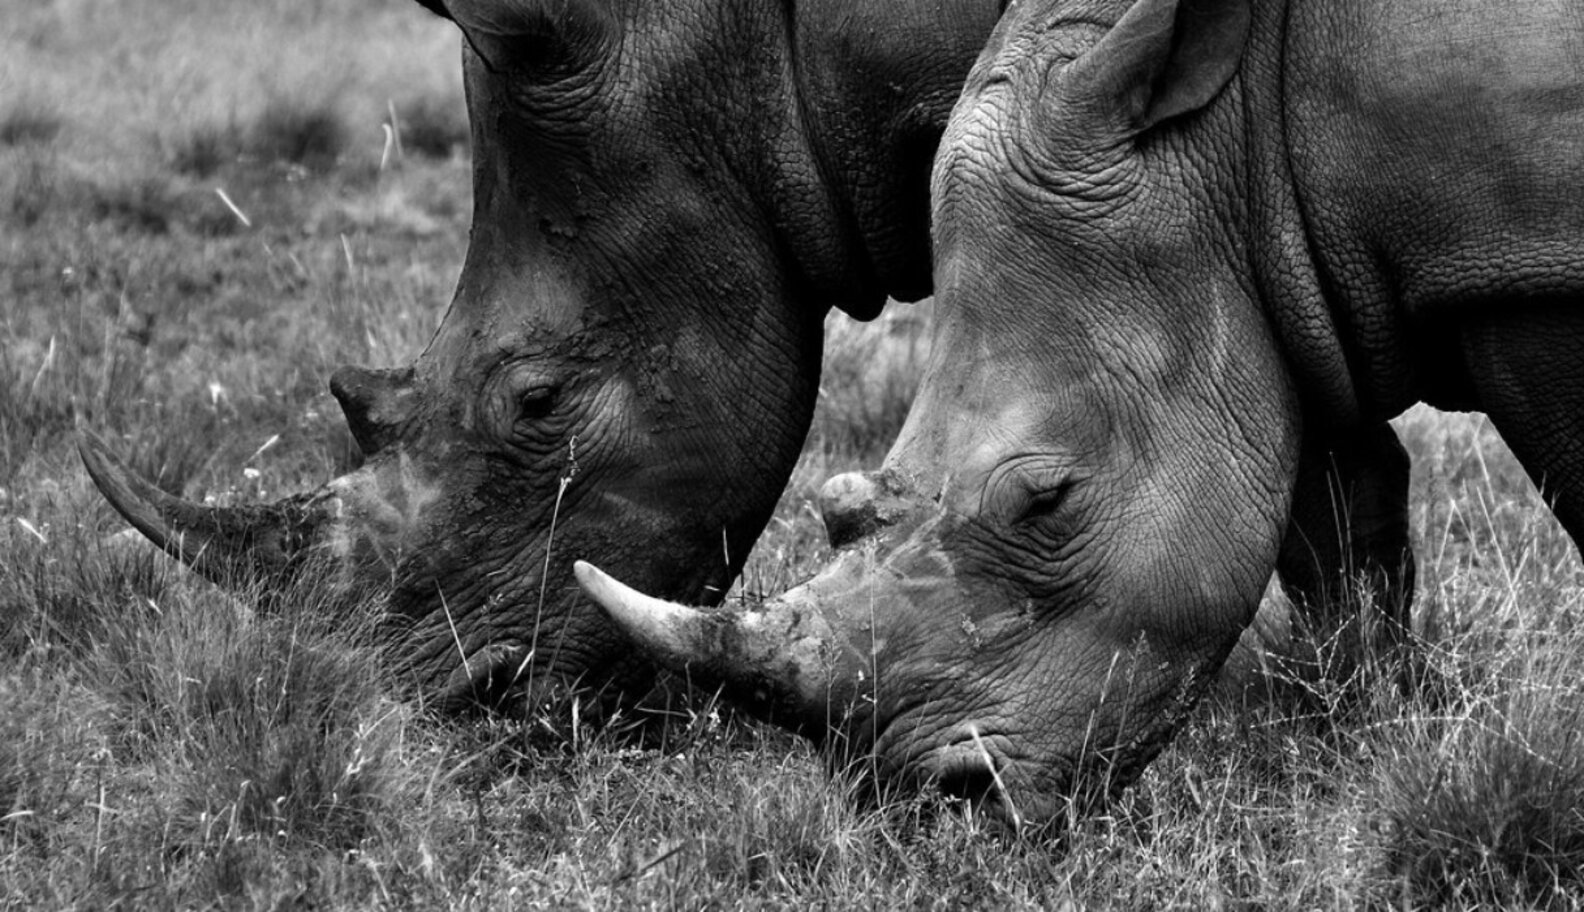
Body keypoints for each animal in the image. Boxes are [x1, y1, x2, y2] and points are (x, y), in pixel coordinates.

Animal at [579, 0, 1584, 822]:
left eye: (1047, 502)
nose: (938, 806)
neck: (1225, 135)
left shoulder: (1526, 268)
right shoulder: (1284, 283)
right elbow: (1346, 531)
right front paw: (1371, 727)